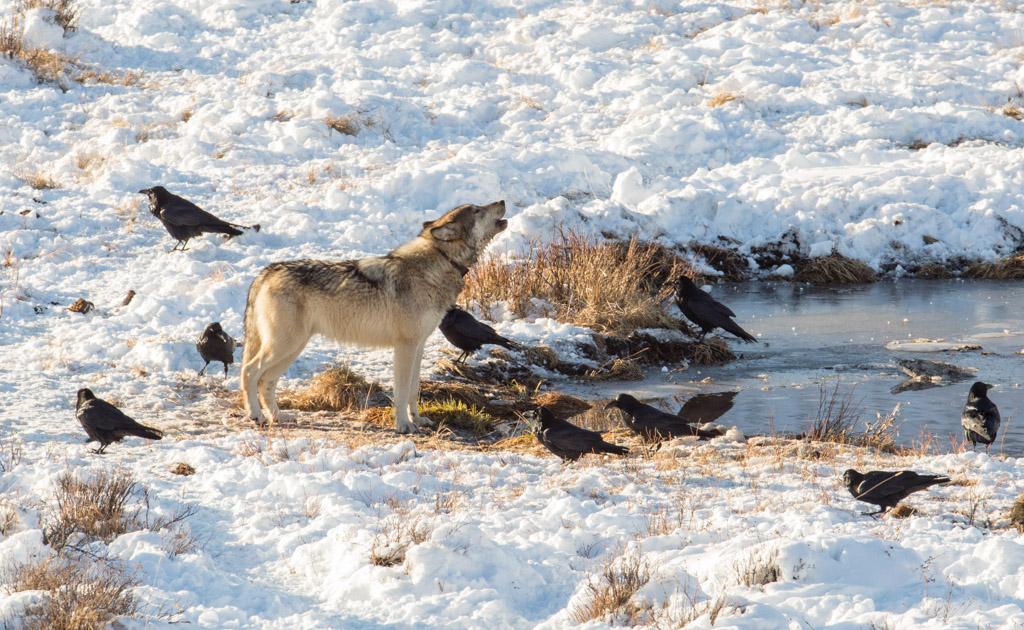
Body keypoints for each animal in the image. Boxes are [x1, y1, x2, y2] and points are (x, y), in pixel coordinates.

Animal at [241, 201, 507, 433]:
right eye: (477, 210)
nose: (503, 201)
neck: (439, 262)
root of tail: (266, 271)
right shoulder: (405, 346)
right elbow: (401, 391)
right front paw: (403, 426)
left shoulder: (419, 346)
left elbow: (414, 389)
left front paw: (417, 420)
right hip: (285, 346)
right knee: (249, 372)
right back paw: (256, 416)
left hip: (292, 348)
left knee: (266, 381)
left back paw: (278, 417)